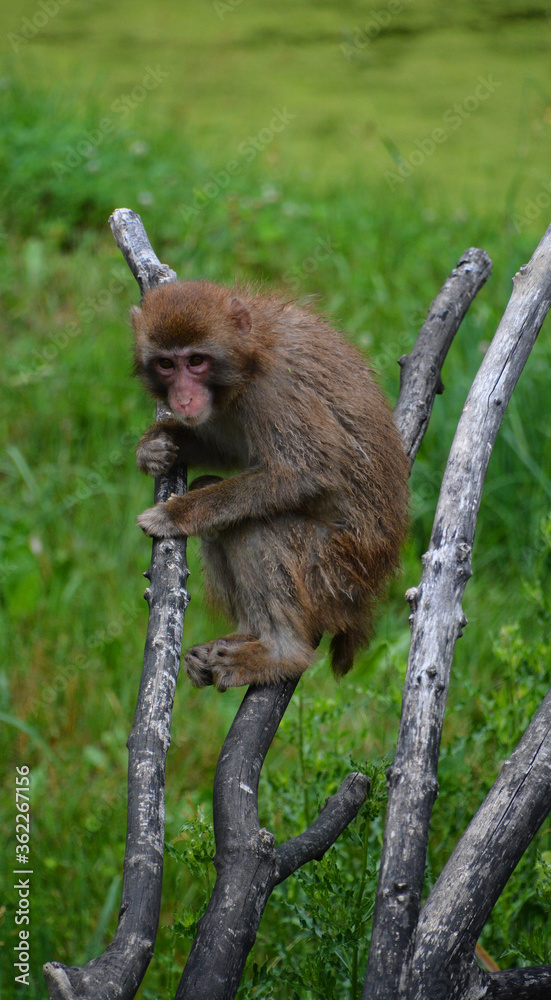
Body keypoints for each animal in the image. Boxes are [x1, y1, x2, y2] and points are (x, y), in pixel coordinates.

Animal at [132, 279, 409, 691]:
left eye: (196, 361)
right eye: (166, 364)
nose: (183, 398)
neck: (251, 354)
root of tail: (367, 596)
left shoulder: (276, 390)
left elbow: (308, 471)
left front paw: (175, 513)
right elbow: (230, 451)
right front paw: (157, 444)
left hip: (332, 574)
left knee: (254, 528)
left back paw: (281, 653)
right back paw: (245, 634)